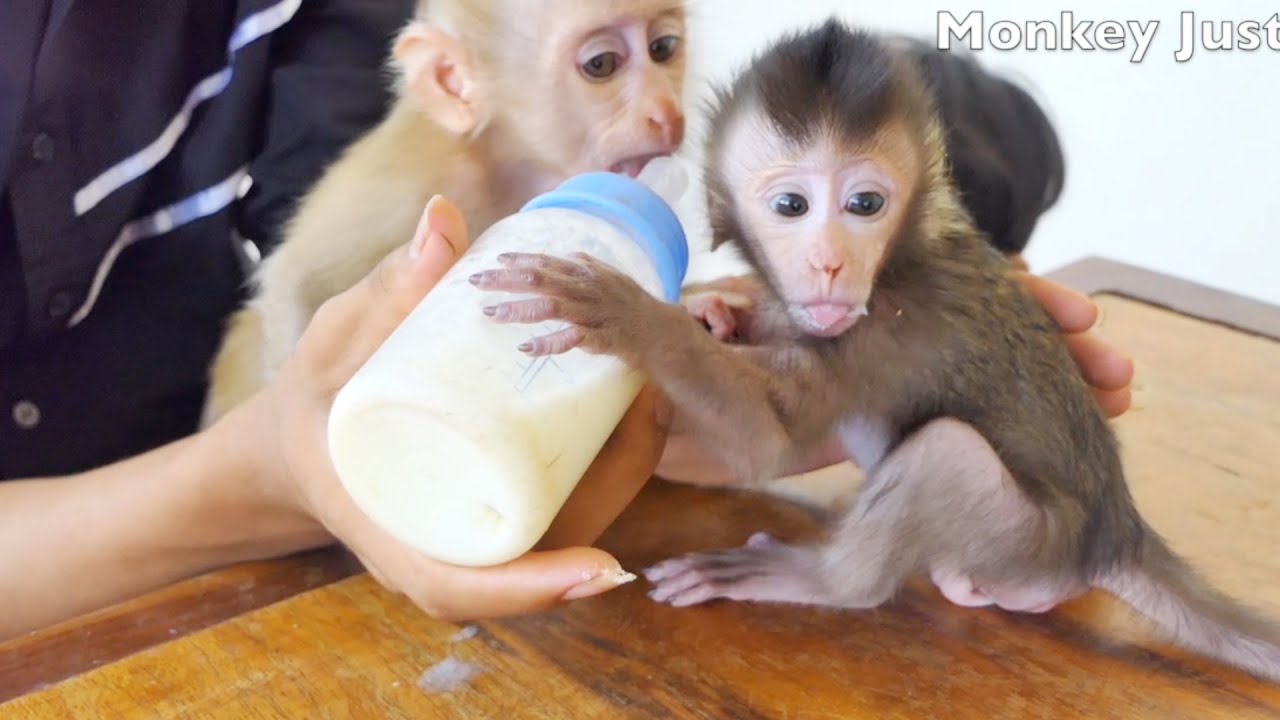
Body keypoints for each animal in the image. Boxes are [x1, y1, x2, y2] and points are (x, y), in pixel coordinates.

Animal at [199, 0, 689, 425]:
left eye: (663, 48)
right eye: (601, 64)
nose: (667, 115)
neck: (511, 163)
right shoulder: (414, 182)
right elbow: (298, 281)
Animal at [468, 19, 1280, 682]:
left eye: (865, 205)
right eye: (791, 206)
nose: (830, 263)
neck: (896, 262)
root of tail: (1114, 530)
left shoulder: (893, 327)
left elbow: (768, 442)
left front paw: (632, 316)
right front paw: (719, 312)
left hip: (1030, 544)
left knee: (944, 450)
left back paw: (823, 583)